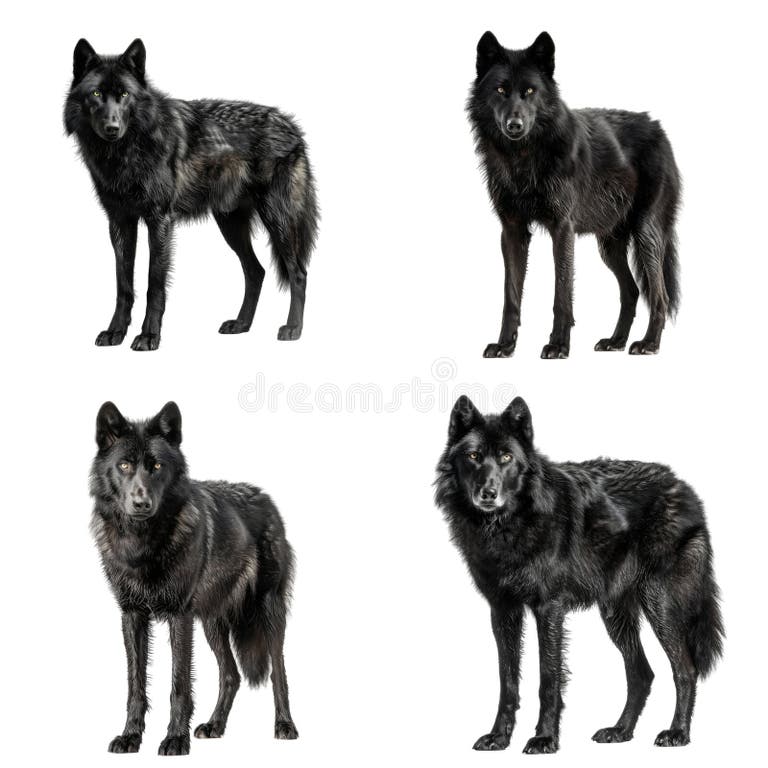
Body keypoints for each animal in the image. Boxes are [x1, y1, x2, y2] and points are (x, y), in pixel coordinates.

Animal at [65, 39, 318, 351]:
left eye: (124, 94)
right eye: (97, 94)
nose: (112, 128)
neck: (126, 152)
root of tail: (292, 126)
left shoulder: (159, 221)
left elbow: (154, 284)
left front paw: (149, 336)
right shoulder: (120, 222)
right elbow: (123, 285)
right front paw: (115, 332)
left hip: (278, 220)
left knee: (298, 272)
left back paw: (293, 328)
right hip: (231, 225)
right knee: (256, 272)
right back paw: (241, 325)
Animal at [90, 401, 298, 755]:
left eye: (157, 465)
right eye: (125, 465)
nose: (141, 503)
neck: (143, 544)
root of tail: (266, 498)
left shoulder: (179, 615)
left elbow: (179, 685)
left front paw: (175, 739)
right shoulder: (132, 614)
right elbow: (135, 685)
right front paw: (130, 736)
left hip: (268, 612)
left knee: (277, 672)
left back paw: (285, 726)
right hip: (212, 622)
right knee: (231, 675)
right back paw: (214, 726)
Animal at [434, 396, 723, 752]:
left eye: (506, 457)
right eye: (474, 456)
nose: (488, 493)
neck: (507, 526)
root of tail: (683, 486)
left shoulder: (548, 608)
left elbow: (548, 678)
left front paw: (545, 738)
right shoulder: (503, 610)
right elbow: (507, 680)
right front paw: (499, 737)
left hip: (659, 605)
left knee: (685, 669)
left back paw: (677, 733)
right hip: (615, 615)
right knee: (642, 674)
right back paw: (620, 731)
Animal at [467, 32, 681, 358]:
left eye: (530, 91)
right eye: (501, 90)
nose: (514, 125)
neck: (524, 158)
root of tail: (659, 129)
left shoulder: (562, 229)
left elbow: (562, 293)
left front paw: (558, 345)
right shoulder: (512, 231)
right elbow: (511, 297)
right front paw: (505, 345)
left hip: (646, 234)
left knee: (660, 296)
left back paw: (648, 344)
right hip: (609, 247)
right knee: (631, 291)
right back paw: (615, 342)